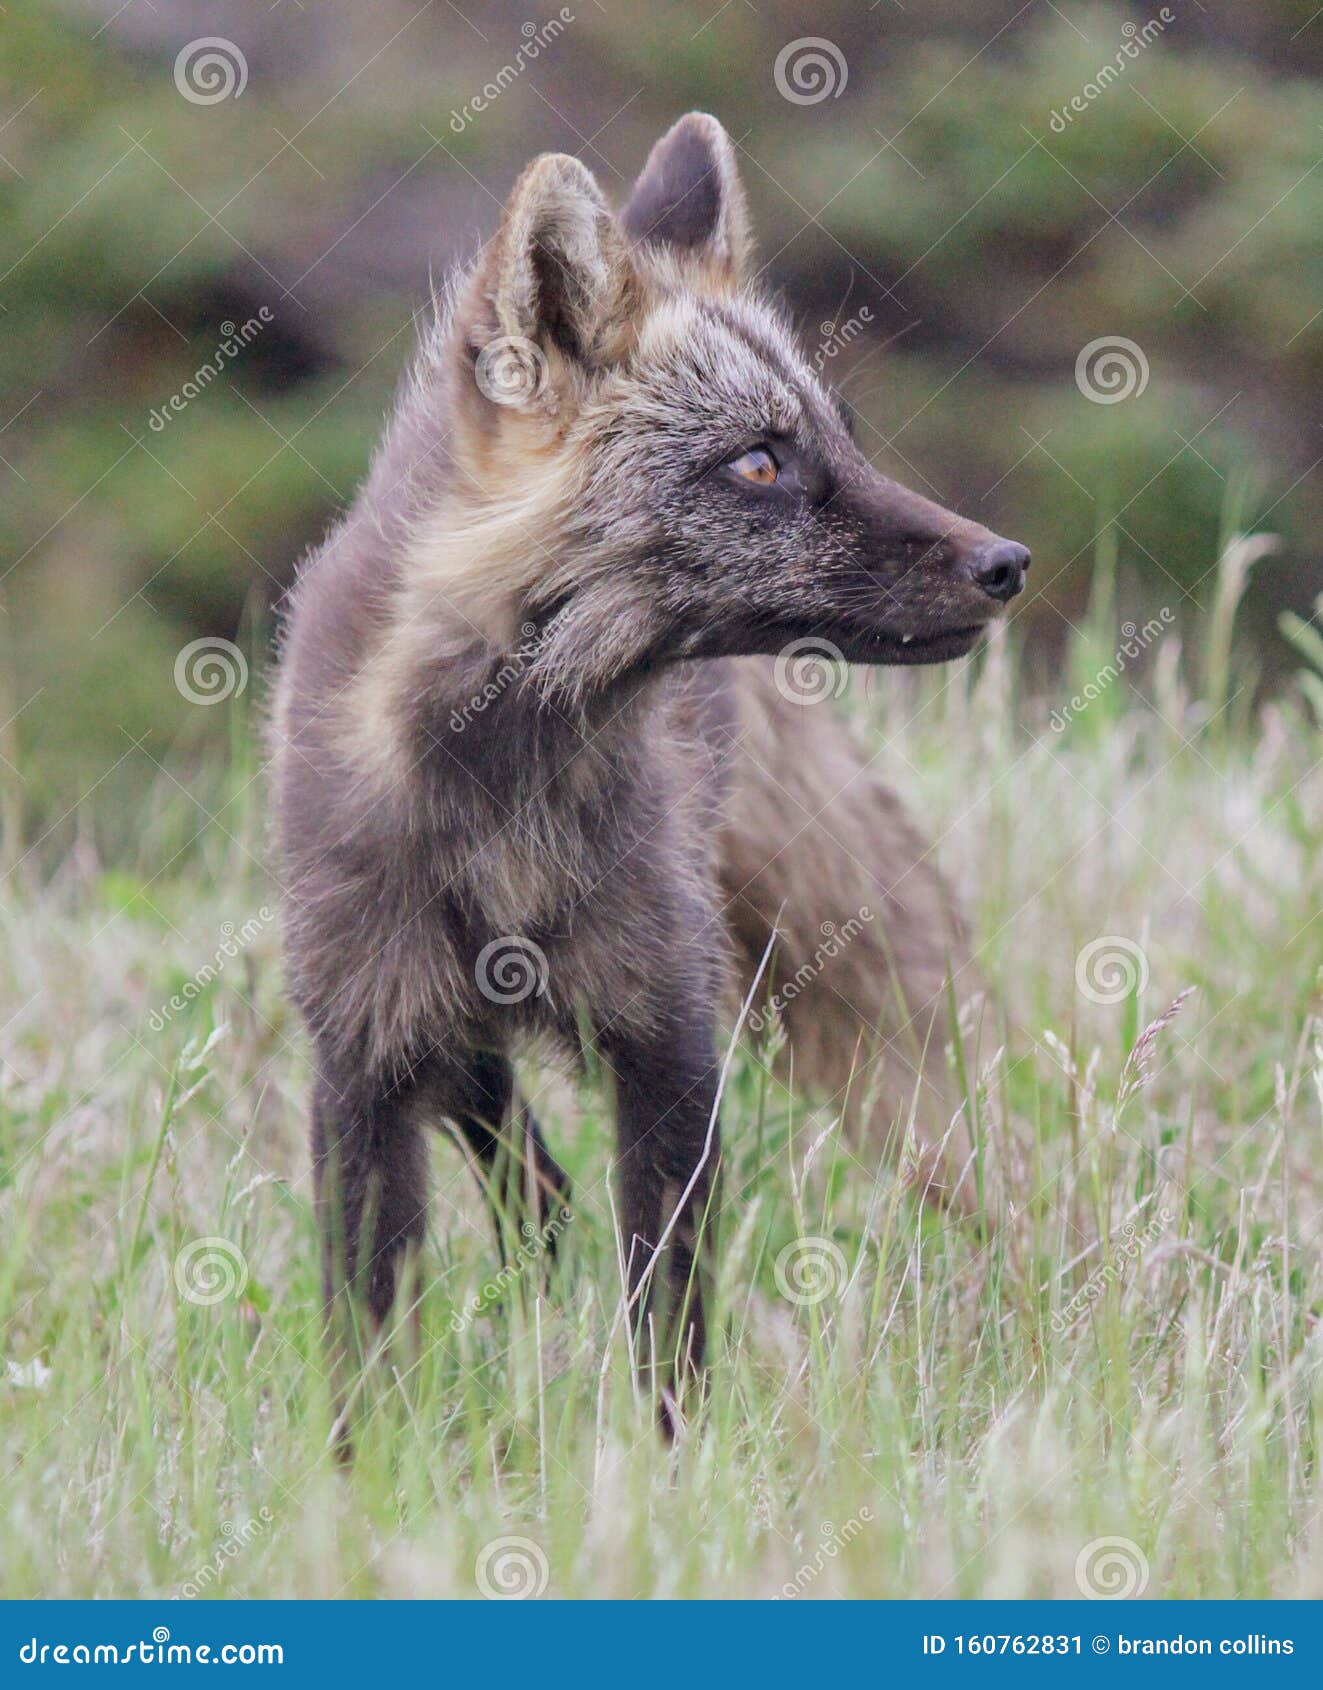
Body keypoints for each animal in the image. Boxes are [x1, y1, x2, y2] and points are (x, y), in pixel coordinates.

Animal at [269, 112, 1030, 1433]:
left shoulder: (670, 1042)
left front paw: (671, 1467)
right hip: (454, 1039)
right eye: (760, 464)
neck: (506, 812)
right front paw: (374, 1475)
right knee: (523, 1169)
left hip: (894, 1033)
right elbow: (368, 1349)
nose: (1007, 564)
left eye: (839, 438)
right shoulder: (363, 1053)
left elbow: (669, 1333)